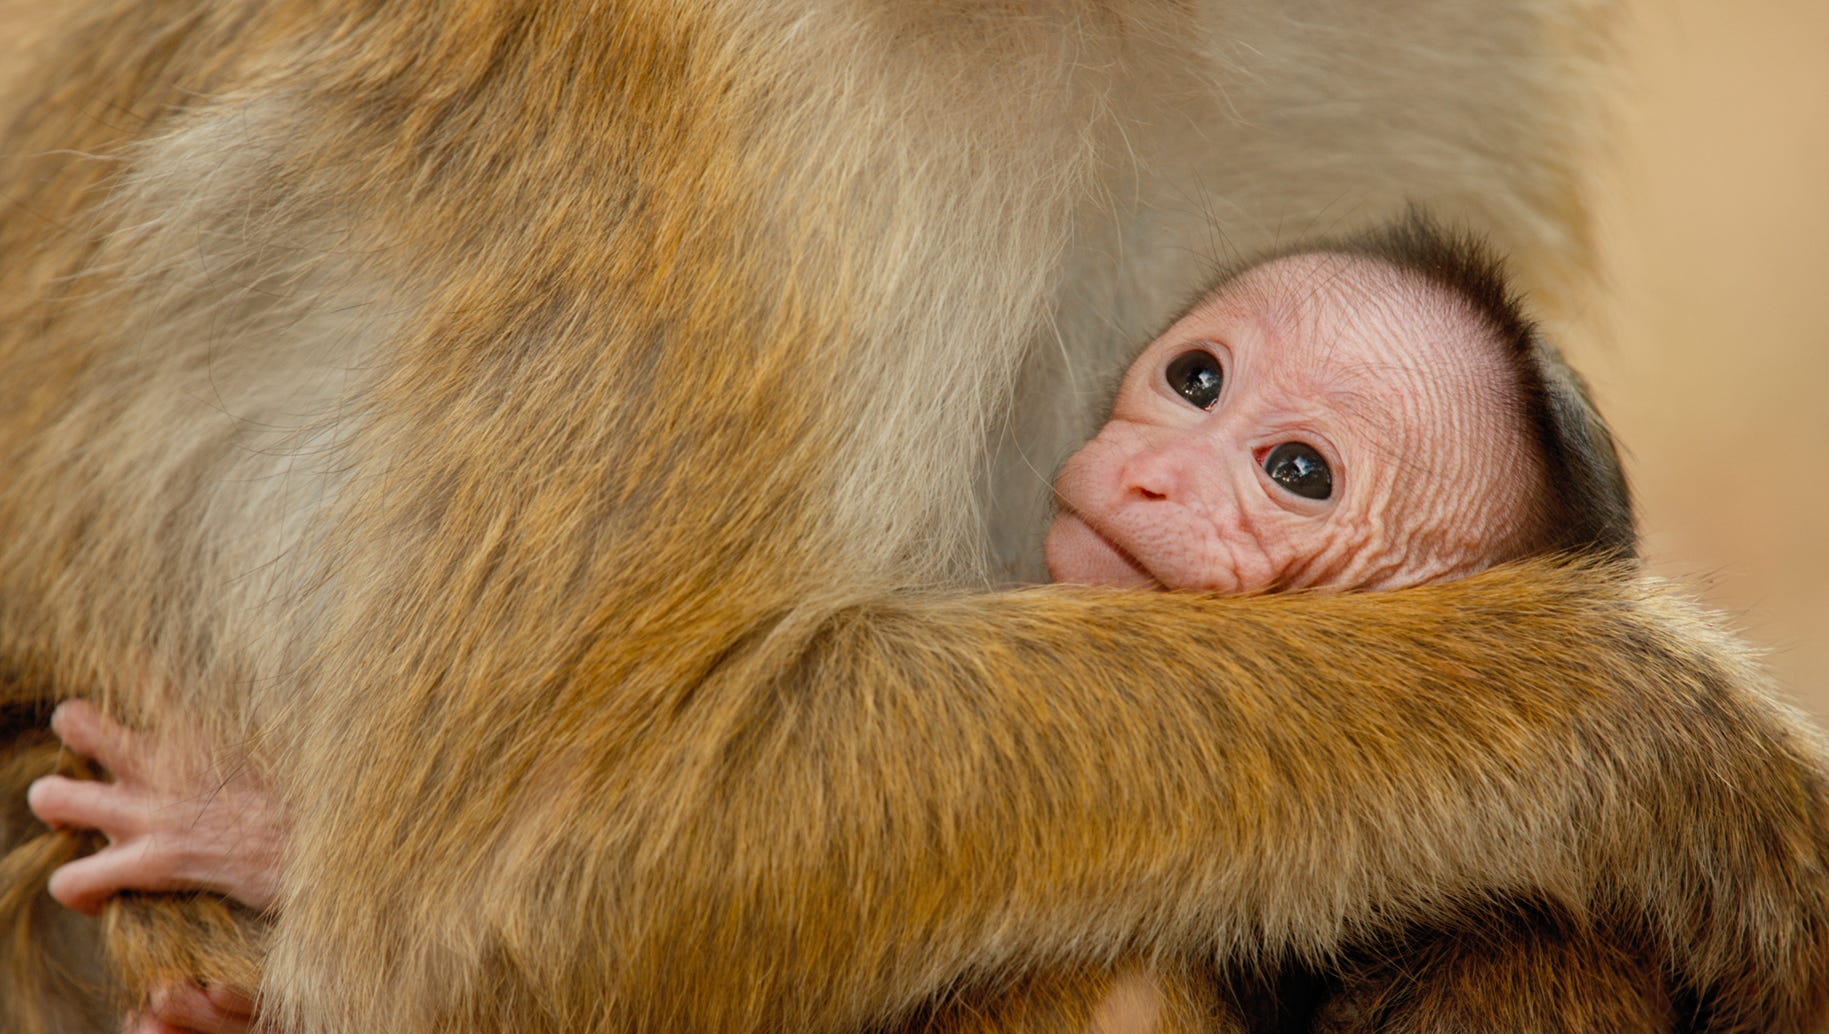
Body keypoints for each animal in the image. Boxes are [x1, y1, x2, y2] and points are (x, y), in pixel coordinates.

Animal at [2, 4, 1827, 1034]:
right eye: (1193, 380)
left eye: (1294, 469)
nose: (1152, 479)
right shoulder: (716, 89)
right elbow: (510, 877)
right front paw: (1666, 743)